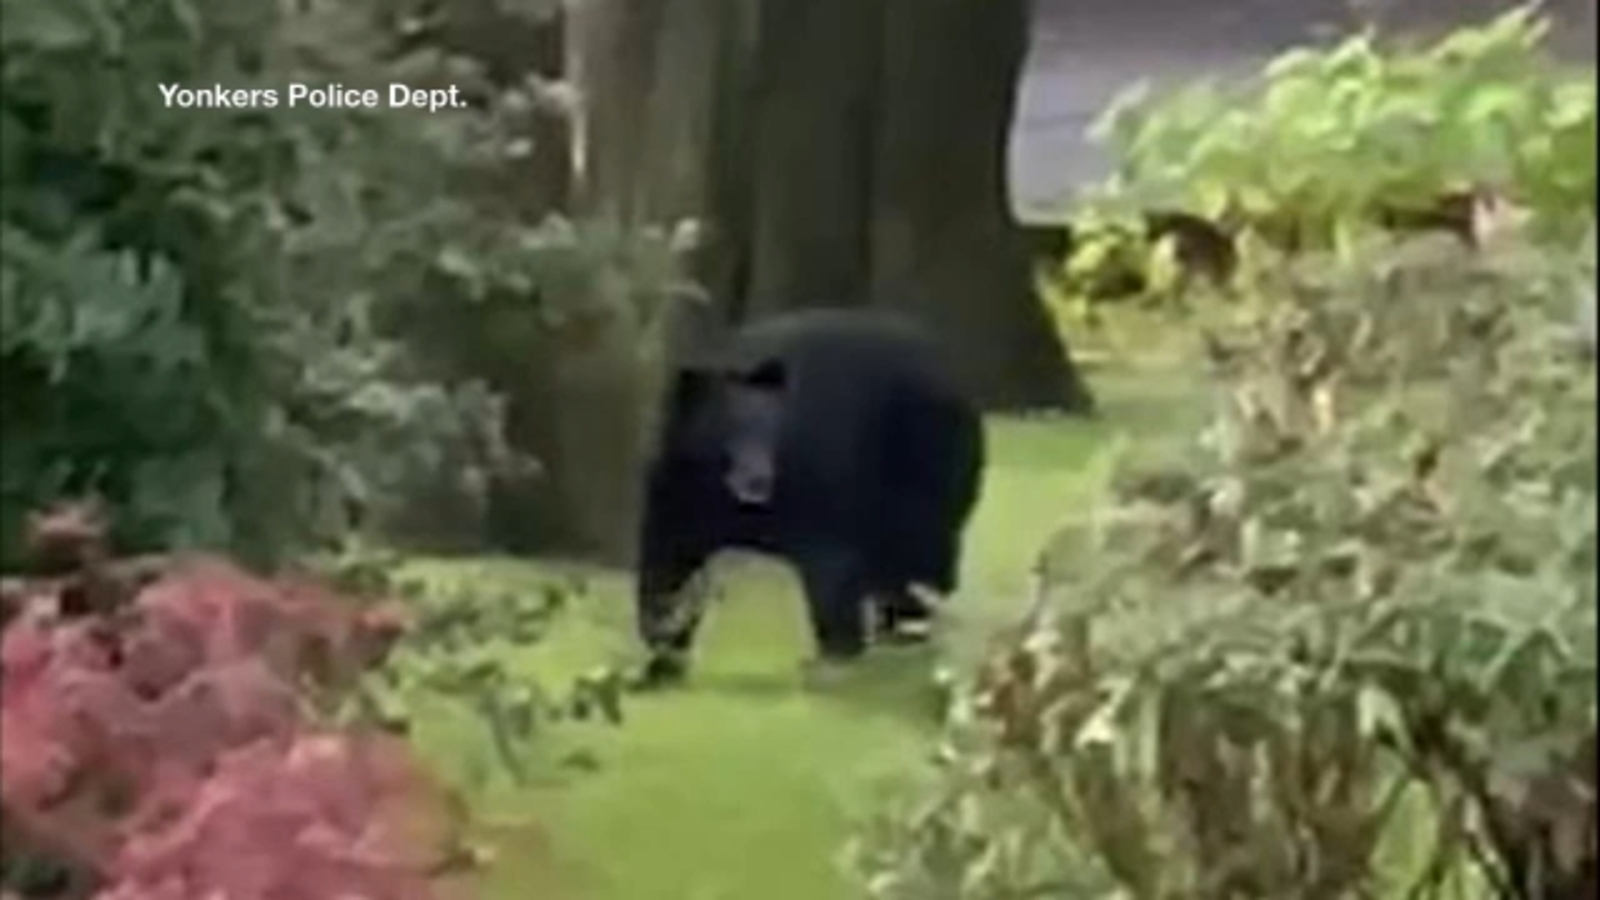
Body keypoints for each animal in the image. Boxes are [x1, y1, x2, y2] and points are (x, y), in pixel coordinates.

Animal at [634, 307, 985, 685]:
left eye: (769, 436)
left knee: (921, 548)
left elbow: (831, 565)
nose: (758, 482)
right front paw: (664, 650)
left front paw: (835, 653)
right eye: (728, 435)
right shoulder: (676, 490)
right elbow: (669, 561)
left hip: (921, 463)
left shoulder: (814, 483)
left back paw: (907, 627)